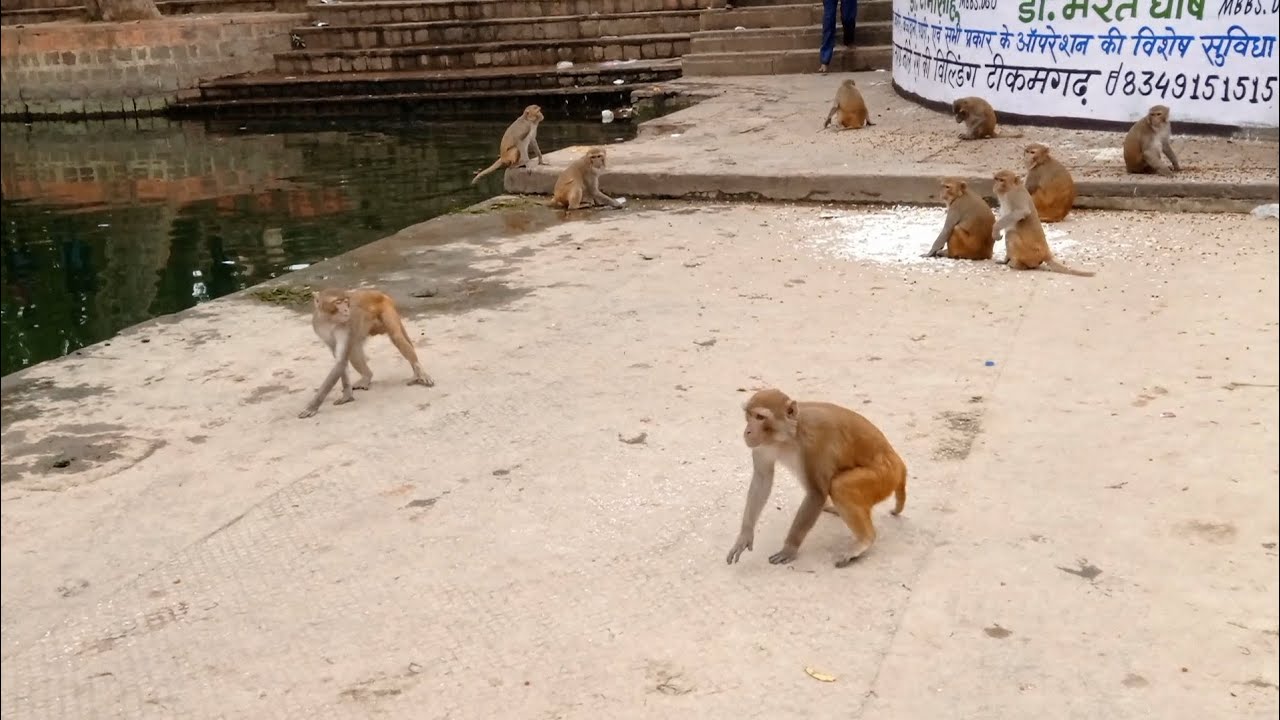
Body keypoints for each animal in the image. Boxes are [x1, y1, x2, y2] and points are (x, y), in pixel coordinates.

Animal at [298, 288, 434, 419]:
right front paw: (347, 396)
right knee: (354, 352)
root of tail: (379, 294)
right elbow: (340, 361)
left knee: (397, 337)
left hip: (386, 309)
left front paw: (312, 406)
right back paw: (367, 377)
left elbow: (340, 362)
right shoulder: (320, 328)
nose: (346, 309)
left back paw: (420, 372)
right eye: (338, 302)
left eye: (345, 301)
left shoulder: (346, 327)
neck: (330, 321)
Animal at [725, 388, 907, 568]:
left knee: (839, 485)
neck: (791, 434)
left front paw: (790, 548)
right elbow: (762, 479)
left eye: (760, 417)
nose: (748, 431)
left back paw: (864, 540)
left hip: (883, 477)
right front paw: (745, 535)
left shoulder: (815, 442)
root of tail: (899, 463)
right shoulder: (763, 445)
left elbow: (816, 493)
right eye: (749, 415)